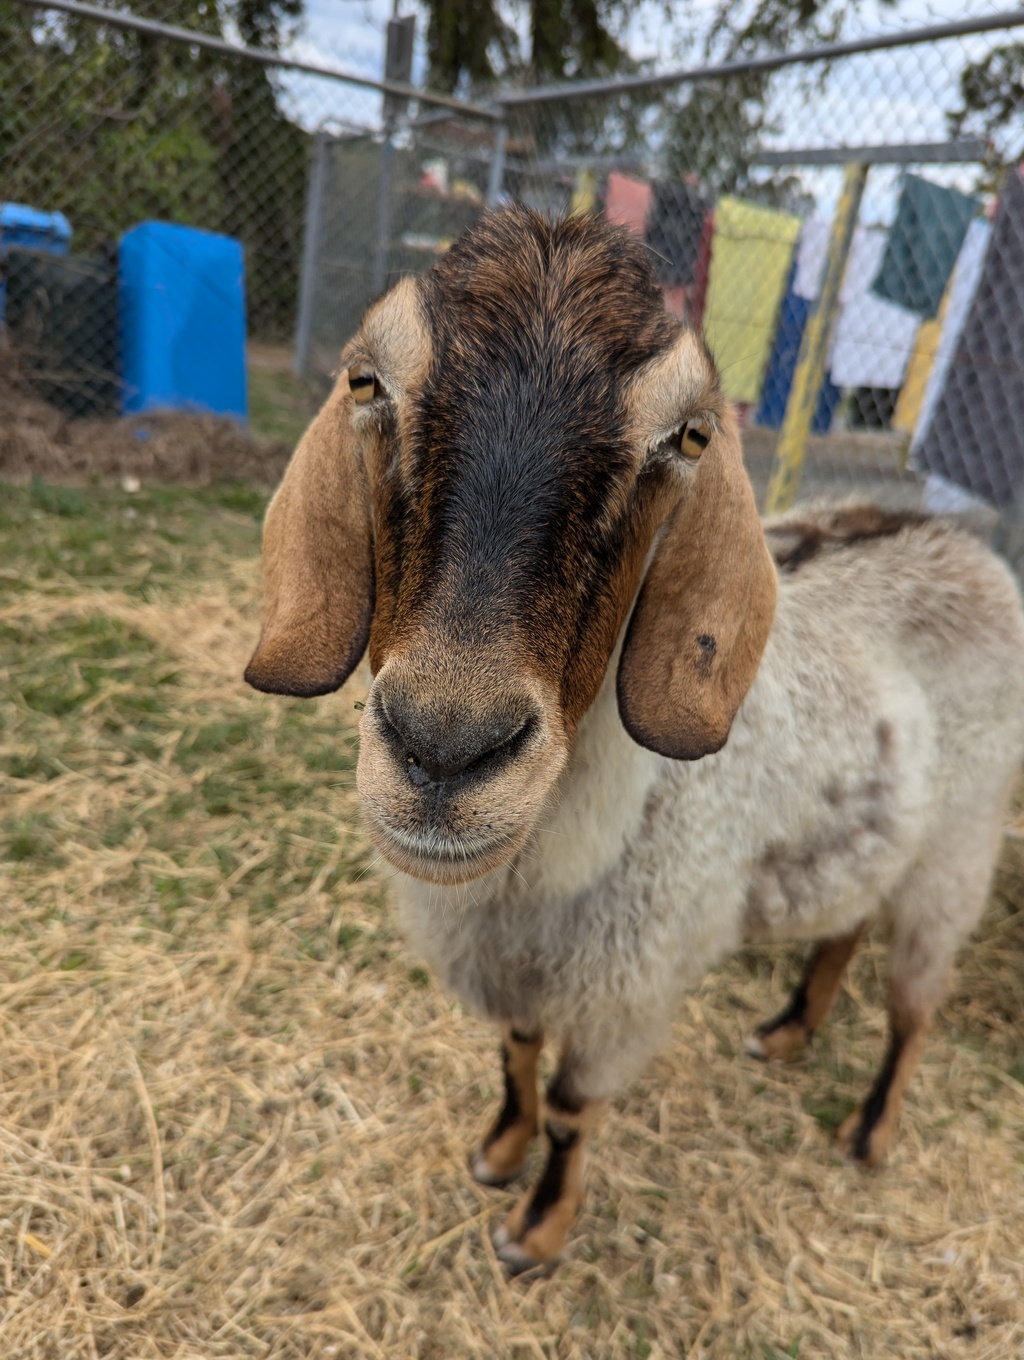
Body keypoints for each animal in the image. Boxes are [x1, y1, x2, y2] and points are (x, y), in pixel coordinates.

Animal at [245, 206, 1024, 1273]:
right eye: (367, 380)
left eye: (690, 433)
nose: (445, 747)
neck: (546, 874)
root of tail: (959, 542)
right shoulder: (520, 972)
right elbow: (516, 1056)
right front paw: (498, 1151)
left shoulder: (626, 984)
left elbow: (574, 1108)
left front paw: (537, 1229)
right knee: (847, 923)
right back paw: (789, 1031)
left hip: (960, 845)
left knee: (916, 1003)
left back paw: (871, 1131)